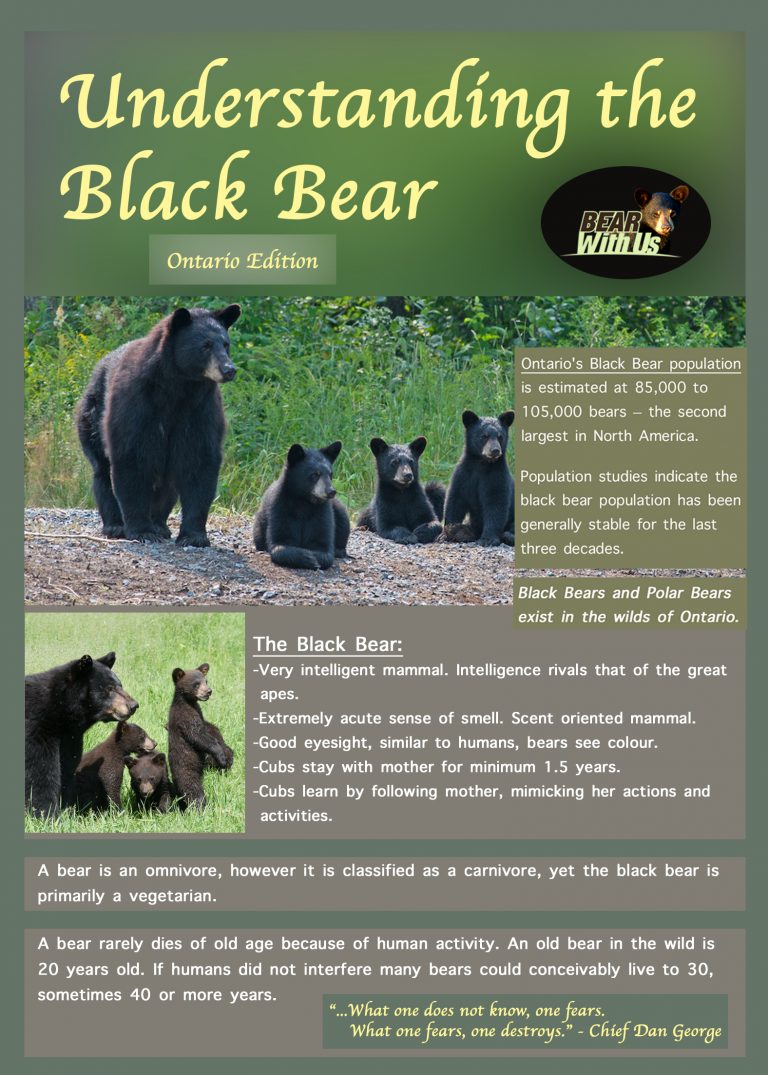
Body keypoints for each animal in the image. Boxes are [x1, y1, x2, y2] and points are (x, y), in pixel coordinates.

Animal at [25, 652, 138, 817]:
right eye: (109, 688)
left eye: (120, 685)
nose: (134, 705)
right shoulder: (37, 728)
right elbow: (39, 770)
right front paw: (46, 813)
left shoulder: (69, 738)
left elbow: (67, 766)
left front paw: (66, 809)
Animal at [76, 304, 241, 547]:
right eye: (206, 345)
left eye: (226, 343)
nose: (229, 369)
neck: (179, 388)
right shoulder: (138, 404)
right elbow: (131, 458)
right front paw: (142, 531)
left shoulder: (200, 410)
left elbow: (200, 461)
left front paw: (194, 535)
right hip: (92, 416)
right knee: (102, 471)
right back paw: (115, 525)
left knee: (167, 483)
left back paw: (160, 525)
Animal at [167, 664, 233, 809]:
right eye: (196, 684)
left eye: (206, 681)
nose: (209, 691)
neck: (188, 702)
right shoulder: (185, 718)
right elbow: (198, 736)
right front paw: (221, 757)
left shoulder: (199, 714)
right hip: (186, 767)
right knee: (192, 788)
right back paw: (199, 806)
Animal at [443, 410, 515, 547]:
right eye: (484, 436)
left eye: (500, 436)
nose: (495, 450)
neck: (481, 464)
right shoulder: (463, 474)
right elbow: (455, 500)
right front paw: (448, 532)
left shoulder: (497, 475)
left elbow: (496, 503)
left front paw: (488, 539)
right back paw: (461, 533)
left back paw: (509, 536)